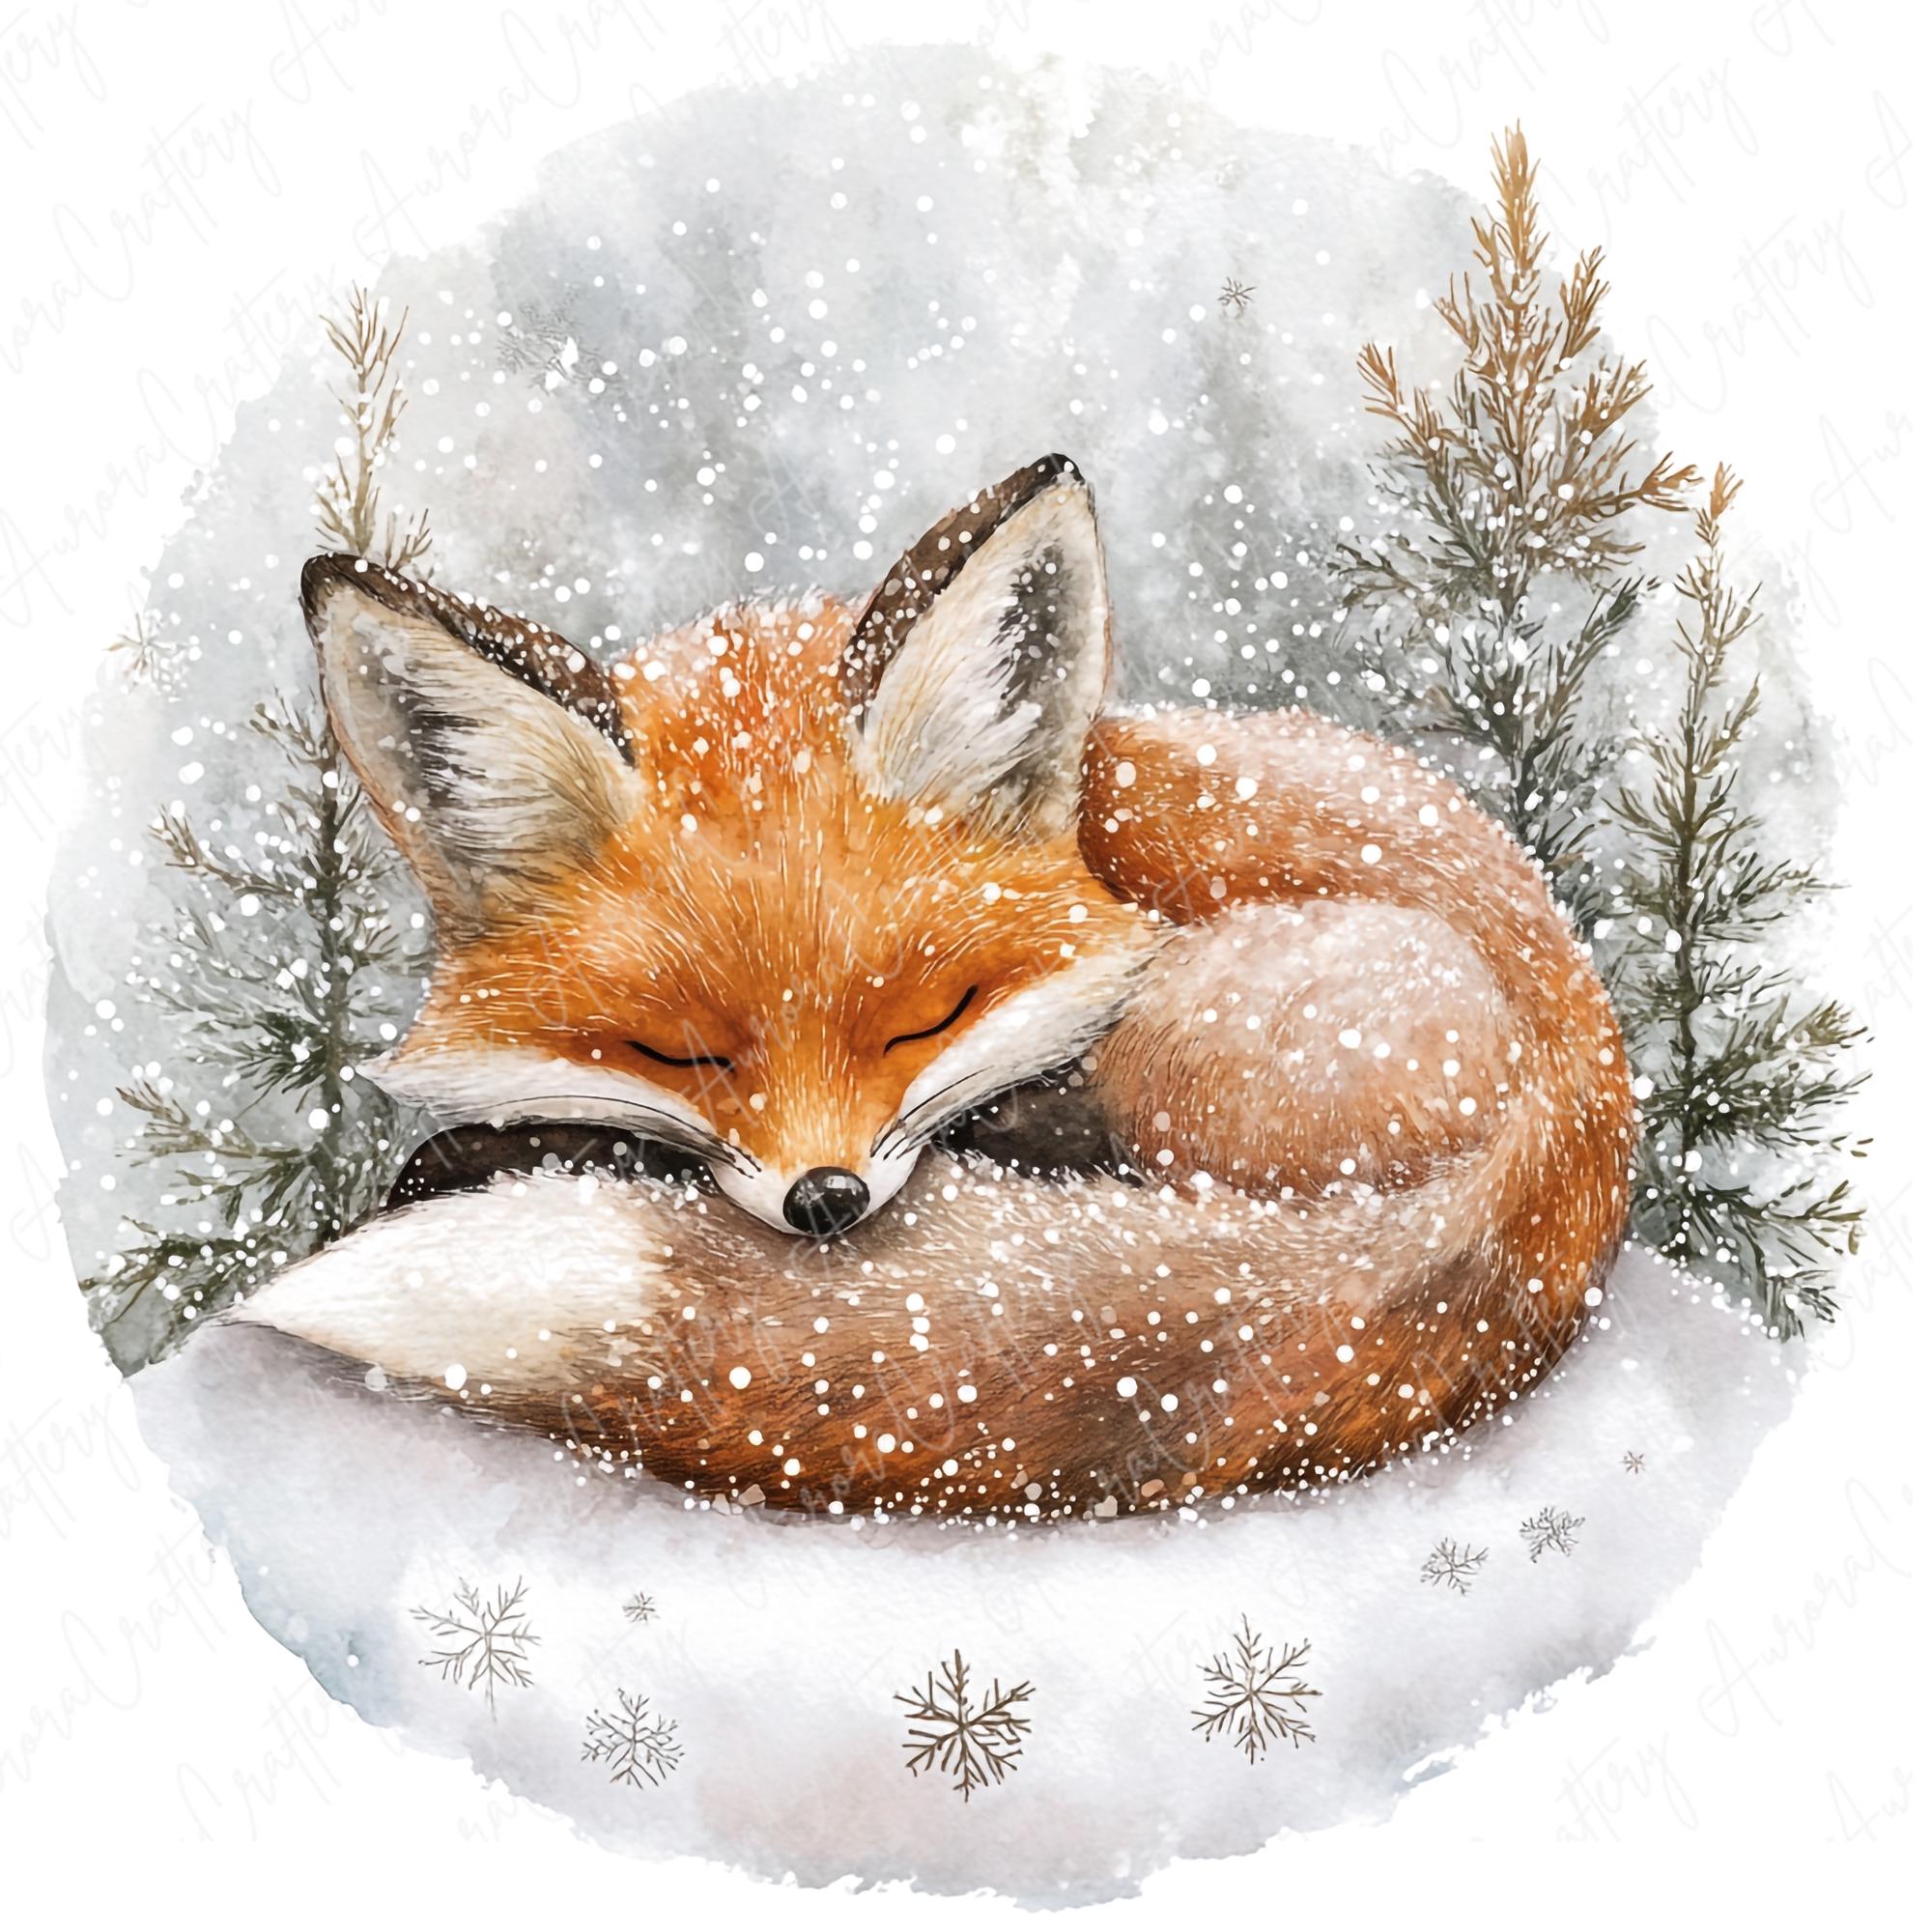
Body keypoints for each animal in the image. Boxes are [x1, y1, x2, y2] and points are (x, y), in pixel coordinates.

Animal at [234, 453, 1634, 1520]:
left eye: (925, 1018)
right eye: (680, 1052)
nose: (826, 1200)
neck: (1095, 834)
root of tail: (1585, 1131)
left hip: (1215, 1032)